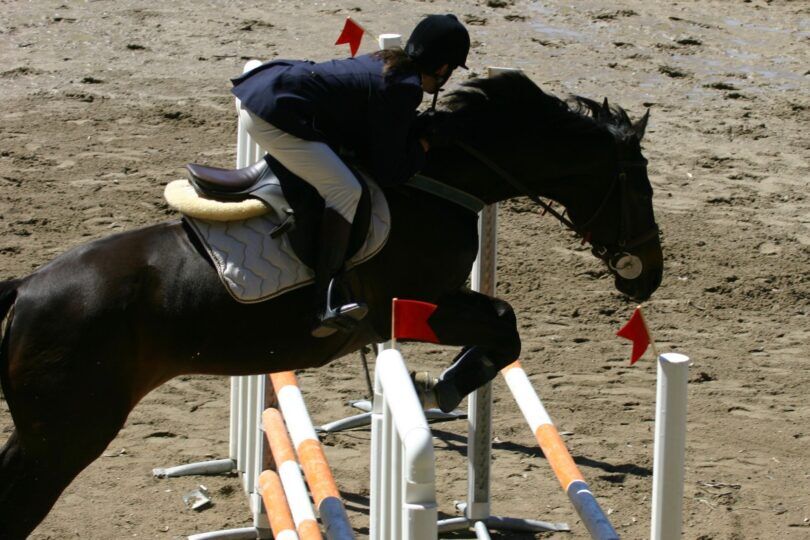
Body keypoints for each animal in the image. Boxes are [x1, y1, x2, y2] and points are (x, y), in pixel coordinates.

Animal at [0, 73, 662, 538]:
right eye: (640, 185)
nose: (649, 277)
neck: (437, 181)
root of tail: (26, 287)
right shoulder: (416, 304)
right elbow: (504, 326)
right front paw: (439, 387)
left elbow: (503, 327)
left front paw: (435, 386)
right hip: (63, 435)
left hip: (47, 434)